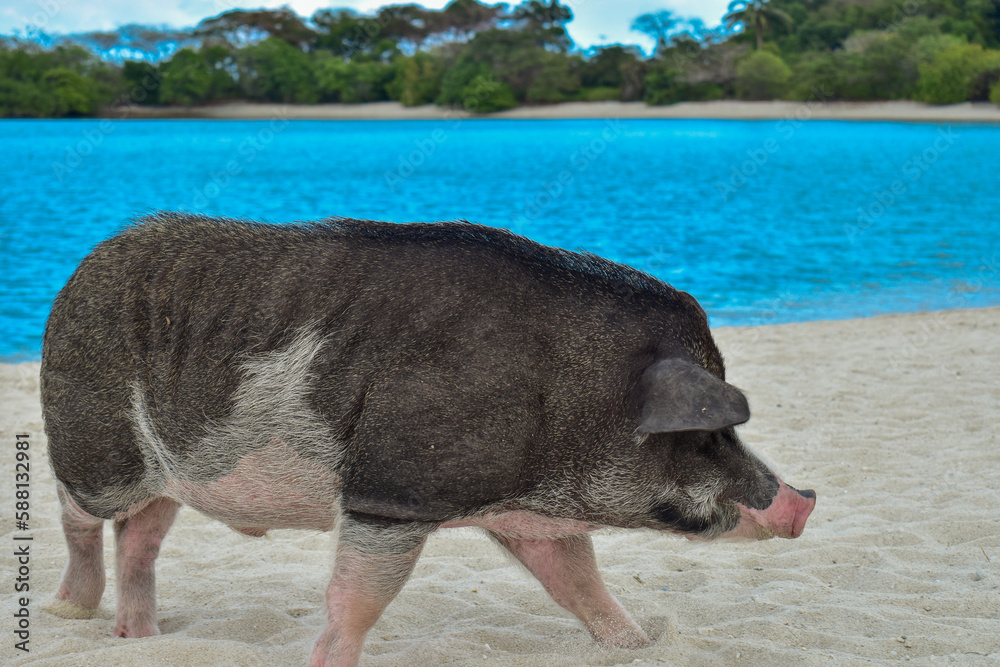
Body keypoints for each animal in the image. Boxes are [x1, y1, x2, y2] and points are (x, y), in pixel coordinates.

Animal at [42, 213, 815, 666]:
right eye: (708, 435)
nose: (803, 499)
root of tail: (78, 271)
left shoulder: (529, 514)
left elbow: (582, 586)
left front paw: (640, 645)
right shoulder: (391, 493)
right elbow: (358, 600)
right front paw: (327, 659)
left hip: (169, 475)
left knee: (142, 536)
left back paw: (140, 639)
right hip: (96, 447)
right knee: (81, 516)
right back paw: (65, 610)